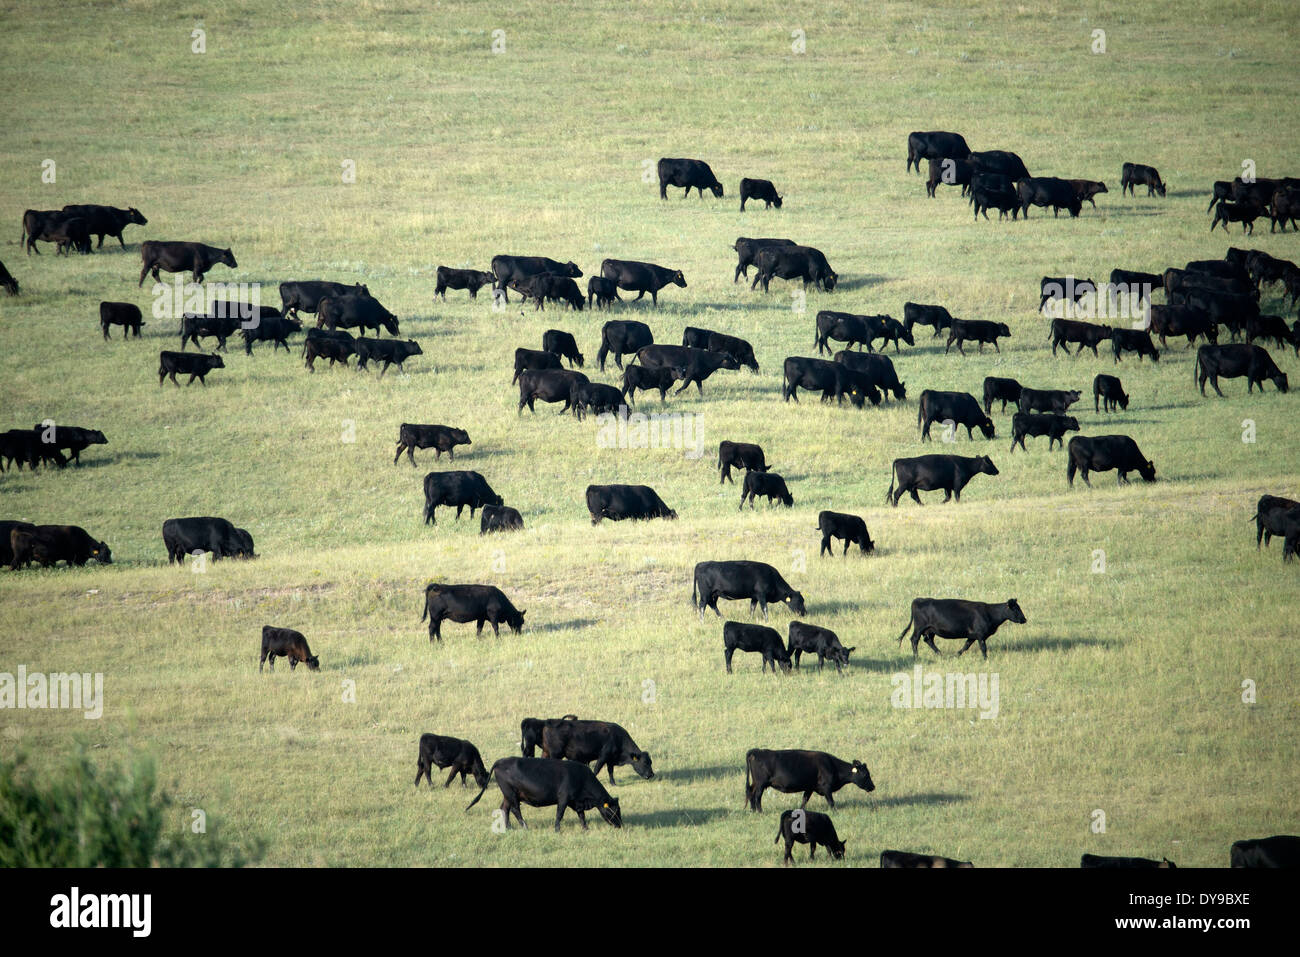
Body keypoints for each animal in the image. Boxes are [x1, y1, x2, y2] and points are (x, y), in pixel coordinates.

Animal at [465, 757, 621, 831]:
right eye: (614, 810)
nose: (620, 825)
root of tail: (500, 761)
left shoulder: (576, 801)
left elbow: (581, 815)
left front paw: (585, 829)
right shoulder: (563, 798)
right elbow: (559, 814)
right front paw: (557, 830)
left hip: (508, 795)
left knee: (505, 809)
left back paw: (508, 827)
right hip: (511, 793)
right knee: (515, 810)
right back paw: (525, 827)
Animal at [744, 749, 874, 811]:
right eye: (866, 775)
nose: (873, 787)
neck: (832, 766)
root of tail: (757, 751)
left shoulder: (809, 788)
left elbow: (804, 801)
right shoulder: (826, 787)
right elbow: (831, 802)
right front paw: (835, 812)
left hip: (756, 783)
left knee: (750, 794)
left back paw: (753, 811)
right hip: (761, 784)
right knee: (757, 797)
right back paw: (760, 811)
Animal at [896, 597, 1026, 659]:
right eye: (1015, 609)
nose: (1024, 619)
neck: (990, 613)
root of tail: (919, 599)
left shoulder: (973, 636)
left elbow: (966, 646)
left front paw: (956, 655)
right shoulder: (980, 635)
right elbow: (983, 648)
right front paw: (986, 659)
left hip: (930, 630)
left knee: (929, 641)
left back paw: (940, 654)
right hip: (919, 628)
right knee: (914, 640)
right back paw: (916, 656)